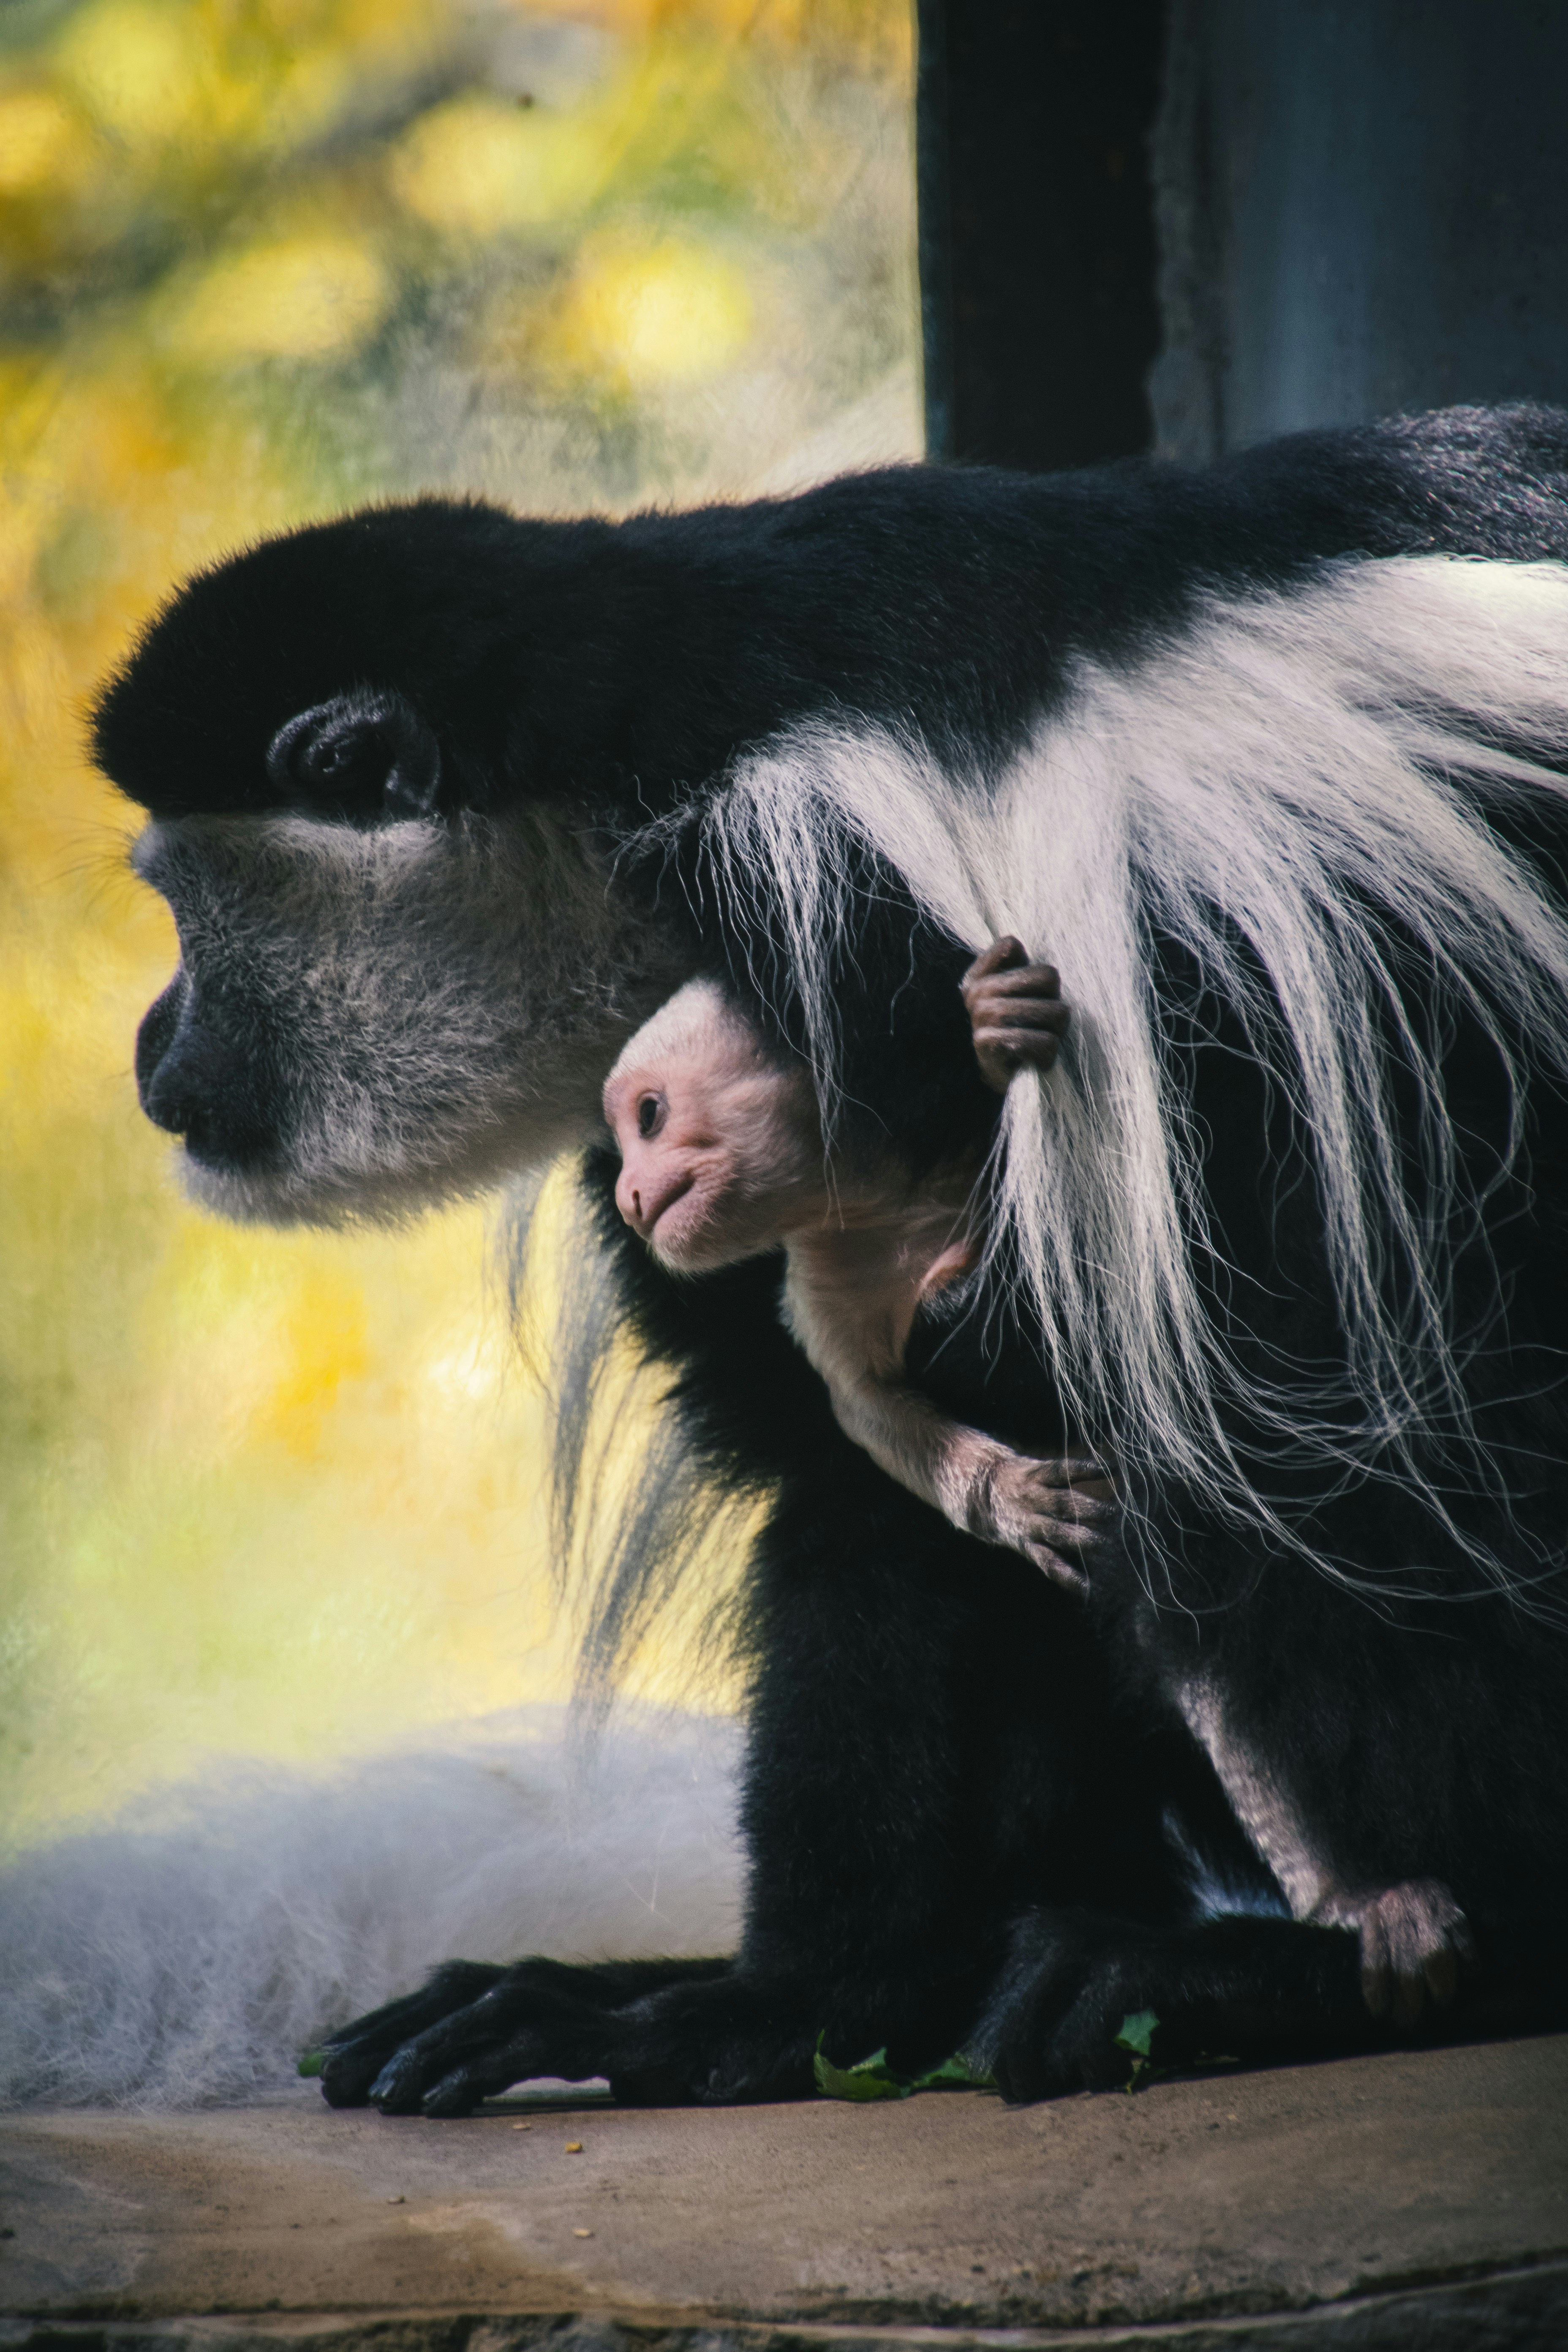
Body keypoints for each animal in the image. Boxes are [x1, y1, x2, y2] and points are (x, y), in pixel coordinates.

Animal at [602, 946, 1114, 1592]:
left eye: (649, 1117)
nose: (627, 1198)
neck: (881, 1206)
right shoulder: (817, 1283)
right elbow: (865, 1403)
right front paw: (1004, 1496)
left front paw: (993, 1046)